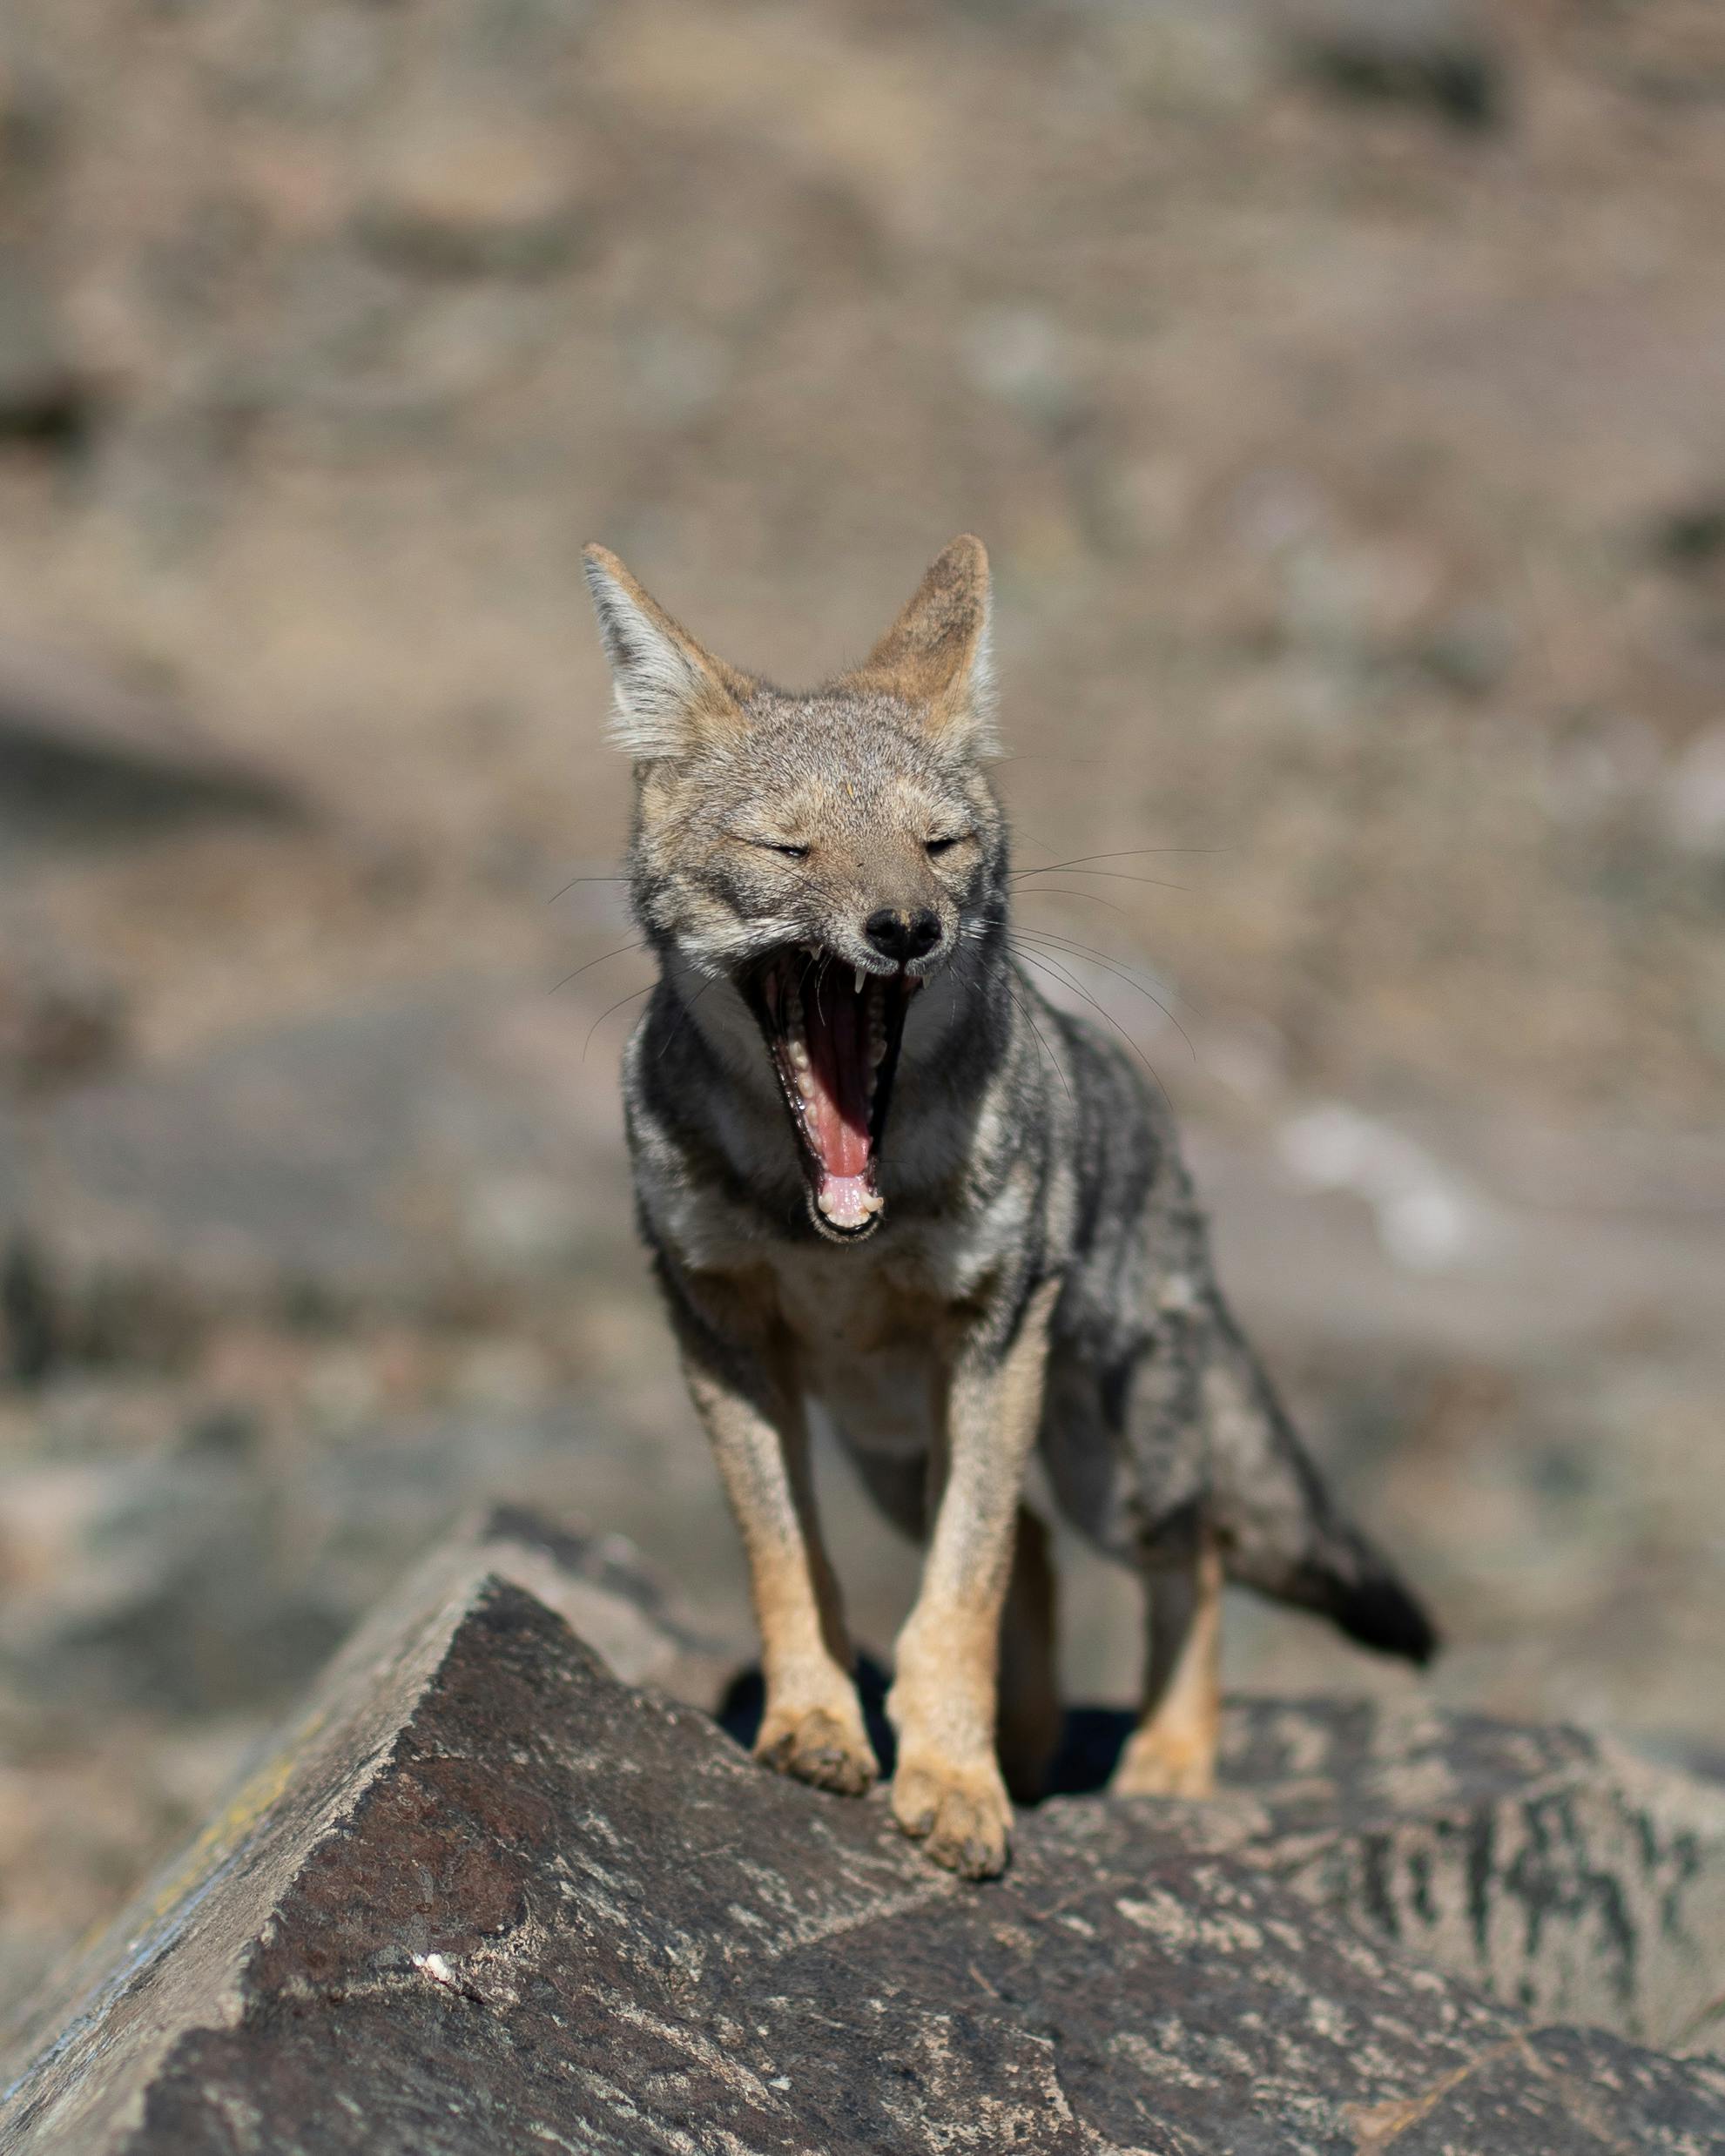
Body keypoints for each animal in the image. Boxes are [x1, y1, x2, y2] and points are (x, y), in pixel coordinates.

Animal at [581, 534, 1437, 1879]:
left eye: (938, 845)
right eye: (790, 850)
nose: (905, 928)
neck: (828, 1225)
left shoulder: (992, 1333)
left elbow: (960, 1592)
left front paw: (951, 1782)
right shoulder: (718, 1335)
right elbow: (794, 1565)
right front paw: (820, 1726)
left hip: (1109, 1471)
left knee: (1188, 1556)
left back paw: (1164, 1767)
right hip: (895, 1454)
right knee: (1034, 1554)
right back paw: (1032, 1755)